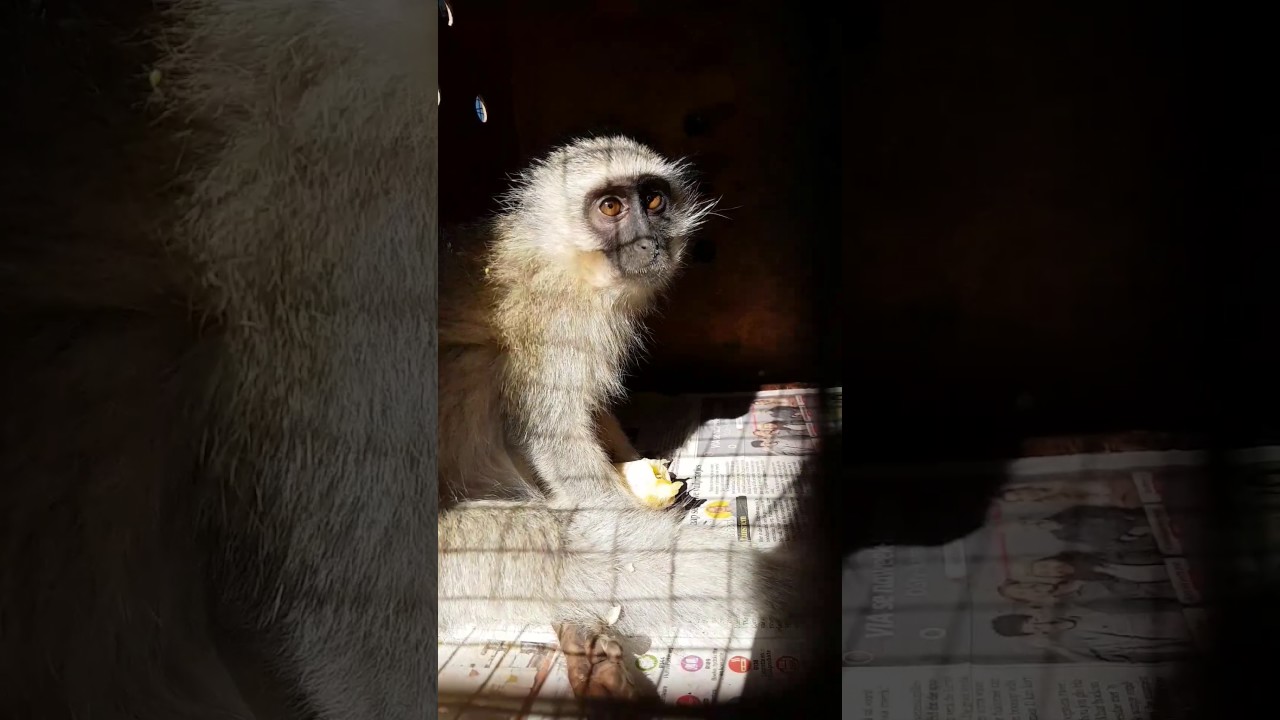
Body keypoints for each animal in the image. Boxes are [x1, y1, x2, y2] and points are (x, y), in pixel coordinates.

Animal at [437, 137, 806, 682]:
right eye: (611, 207)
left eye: (653, 200)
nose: (648, 243)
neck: (564, 261)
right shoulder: (559, 323)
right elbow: (552, 440)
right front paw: (635, 504)